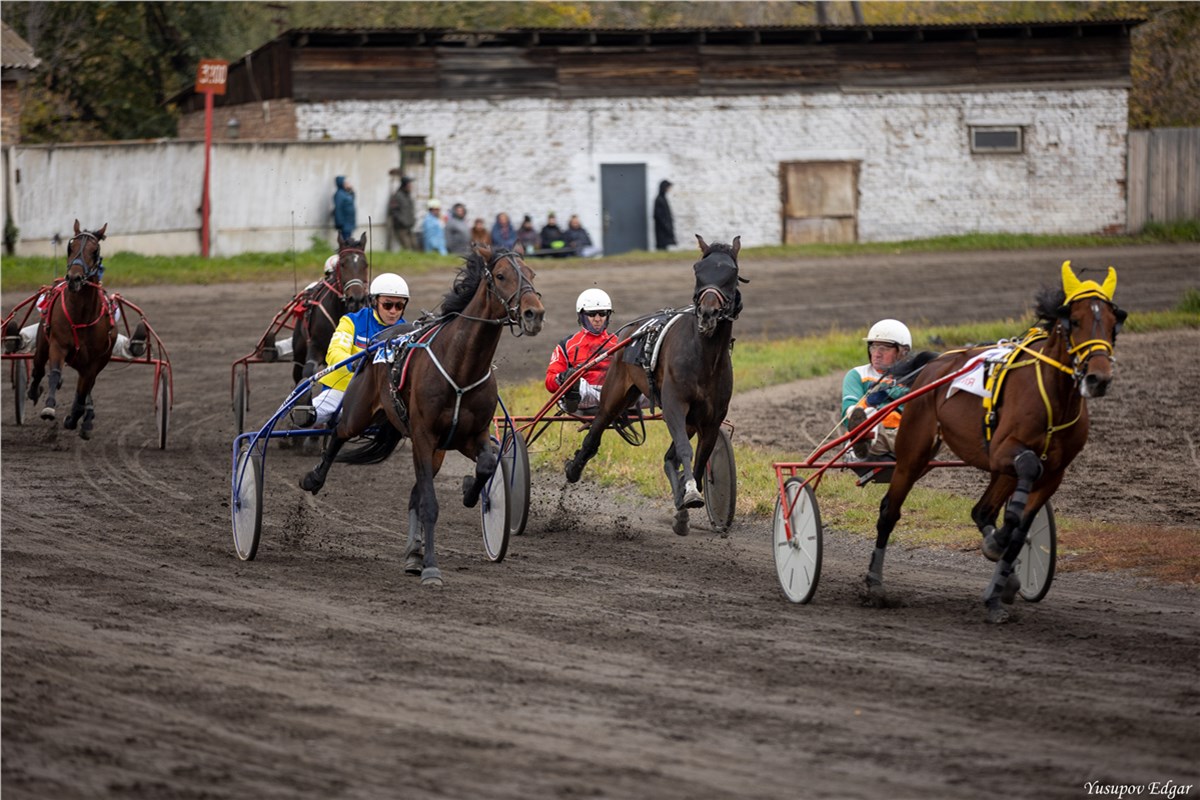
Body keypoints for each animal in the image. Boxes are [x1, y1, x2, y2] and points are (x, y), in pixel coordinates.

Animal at [28, 220, 115, 438]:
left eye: (95, 251)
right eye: (71, 247)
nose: (74, 278)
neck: (81, 315)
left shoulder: (93, 362)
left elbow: (83, 392)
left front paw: (74, 417)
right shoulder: (58, 345)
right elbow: (54, 373)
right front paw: (49, 407)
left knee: (87, 387)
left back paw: (86, 417)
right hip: (43, 343)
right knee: (39, 368)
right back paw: (34, 390)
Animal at [297, 244, 547, 587]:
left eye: (532, 273)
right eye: (500, 275)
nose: (534, 314)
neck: (461, 365)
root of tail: (383, 338)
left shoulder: (472, 435)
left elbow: (486, 463)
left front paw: (471, 492)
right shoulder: (424, 436)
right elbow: (429, 503)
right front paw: (431, 568)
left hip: (435, 450)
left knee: (414, 493)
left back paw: (413, 554)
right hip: (361, 412)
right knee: (338, 433)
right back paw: (313, 478)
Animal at [564, 237, 748, 537]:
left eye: (732, 273)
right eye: (698, 269)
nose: (707, 313)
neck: (704, 358)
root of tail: (631, 329)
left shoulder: (710, 420)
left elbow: (699, 463)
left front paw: (687, 501)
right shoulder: (674, 406)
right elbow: (685, 450)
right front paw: (689, 496)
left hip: (689, 420)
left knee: (669, 458)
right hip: (616, 393)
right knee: (595, 432)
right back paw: (574, 468)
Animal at [868, 260, 1118, 623]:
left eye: (1114, 324)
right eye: (1075, 320)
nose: (1099, 378)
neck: (1054, 399)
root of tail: (935, 364)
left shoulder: (1053, 473)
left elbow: (1020, 527)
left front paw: (997, 594)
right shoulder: (1003, 451)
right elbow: (1018, 498)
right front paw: (998, 547)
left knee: (982, 510)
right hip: (914, 453)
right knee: (890, 511)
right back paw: (874, 585)